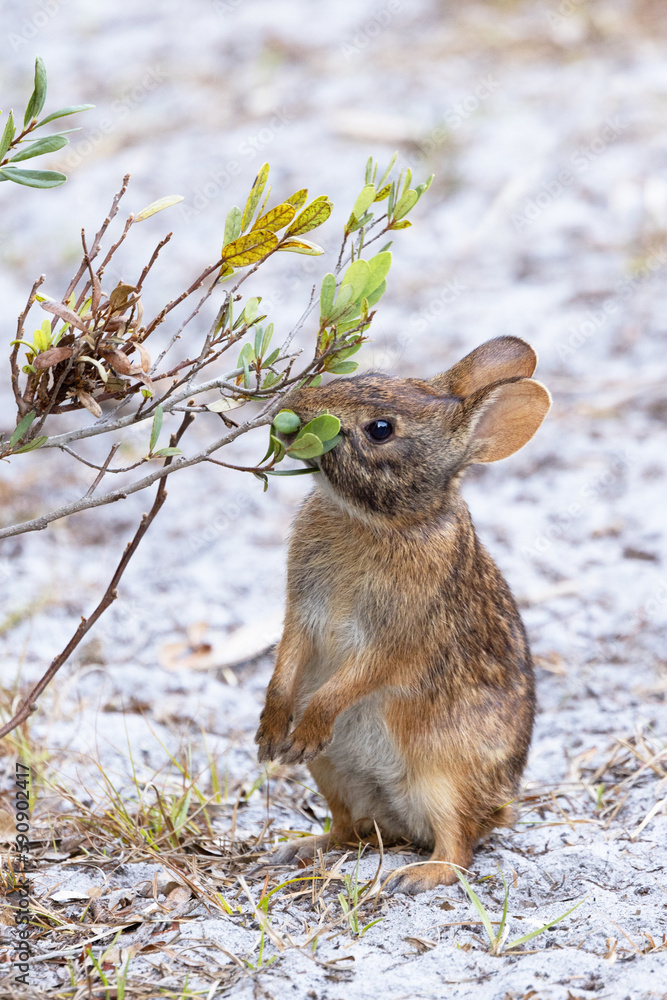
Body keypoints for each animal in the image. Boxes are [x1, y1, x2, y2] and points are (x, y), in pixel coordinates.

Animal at [254, 335, 550, 894]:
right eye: (365, 375)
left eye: (381, 429)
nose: (293, 408)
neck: (382, 521)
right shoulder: (301, 614)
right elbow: (286, 664)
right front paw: (270, 735)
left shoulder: (396, 639)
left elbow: (353, 680)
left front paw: (303, 731)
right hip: (335, 775)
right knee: (349, 831)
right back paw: (298, 849)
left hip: (445, 781)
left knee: (458, 848)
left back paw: (414, 876)